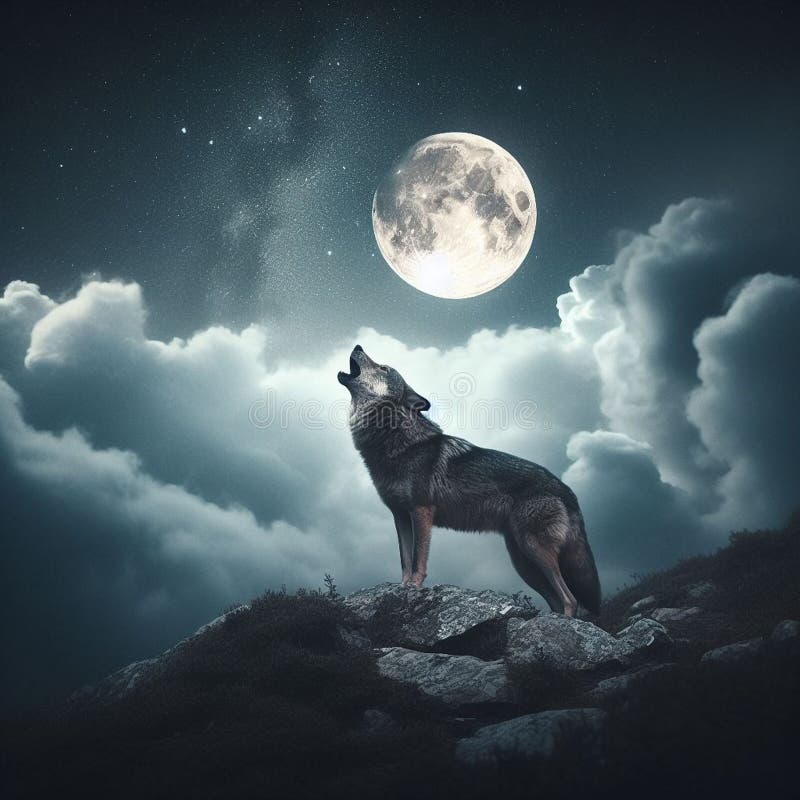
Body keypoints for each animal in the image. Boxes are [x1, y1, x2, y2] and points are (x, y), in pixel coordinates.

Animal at [338, 345, 601, 616]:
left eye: (383, 368)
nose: (358, 346)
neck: (394, 440)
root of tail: (568, 491)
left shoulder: (421, 511)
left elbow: (418, 560)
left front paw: (414, 589)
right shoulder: (399, 515)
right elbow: (405, 561)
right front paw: (401, 588)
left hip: (534, 550)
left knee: (570, 599)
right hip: (524, 564)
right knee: (557, 600)